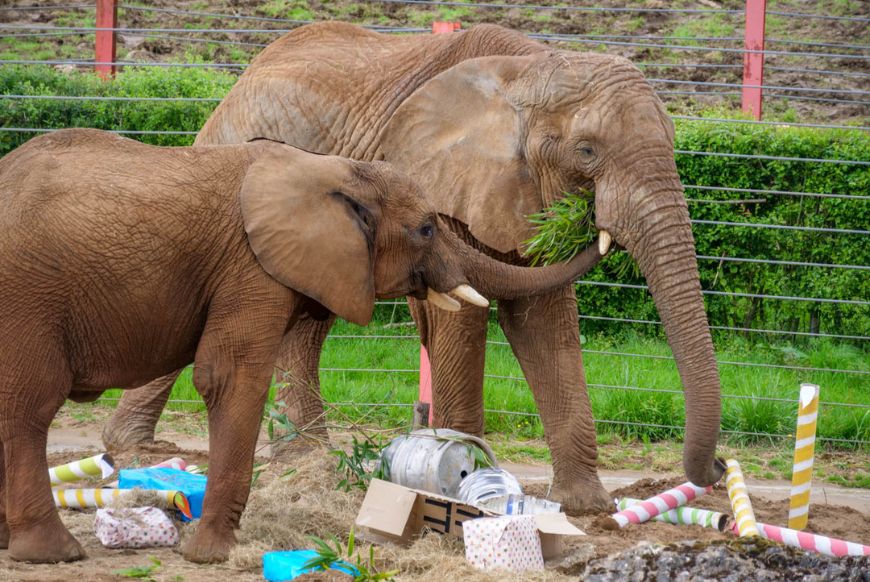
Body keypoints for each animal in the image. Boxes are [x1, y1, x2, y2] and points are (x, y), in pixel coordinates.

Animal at [0, 128, 605, 563]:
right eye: (428, 229)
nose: (591, 221)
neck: (330, 167)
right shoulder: (250, 268)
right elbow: (228, 378)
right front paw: (211, 556)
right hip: (27, 294)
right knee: (30, 404)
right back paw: (54, 553)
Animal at [103, 22, 726, 513]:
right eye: (588, 151)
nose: (719, 472)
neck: (533, 68)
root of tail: (243, 76)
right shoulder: (438, 183)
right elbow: (463, 319)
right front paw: (466, 476)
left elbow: (542, 318)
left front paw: (586, 508)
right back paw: (133, 452)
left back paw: (304, 457)